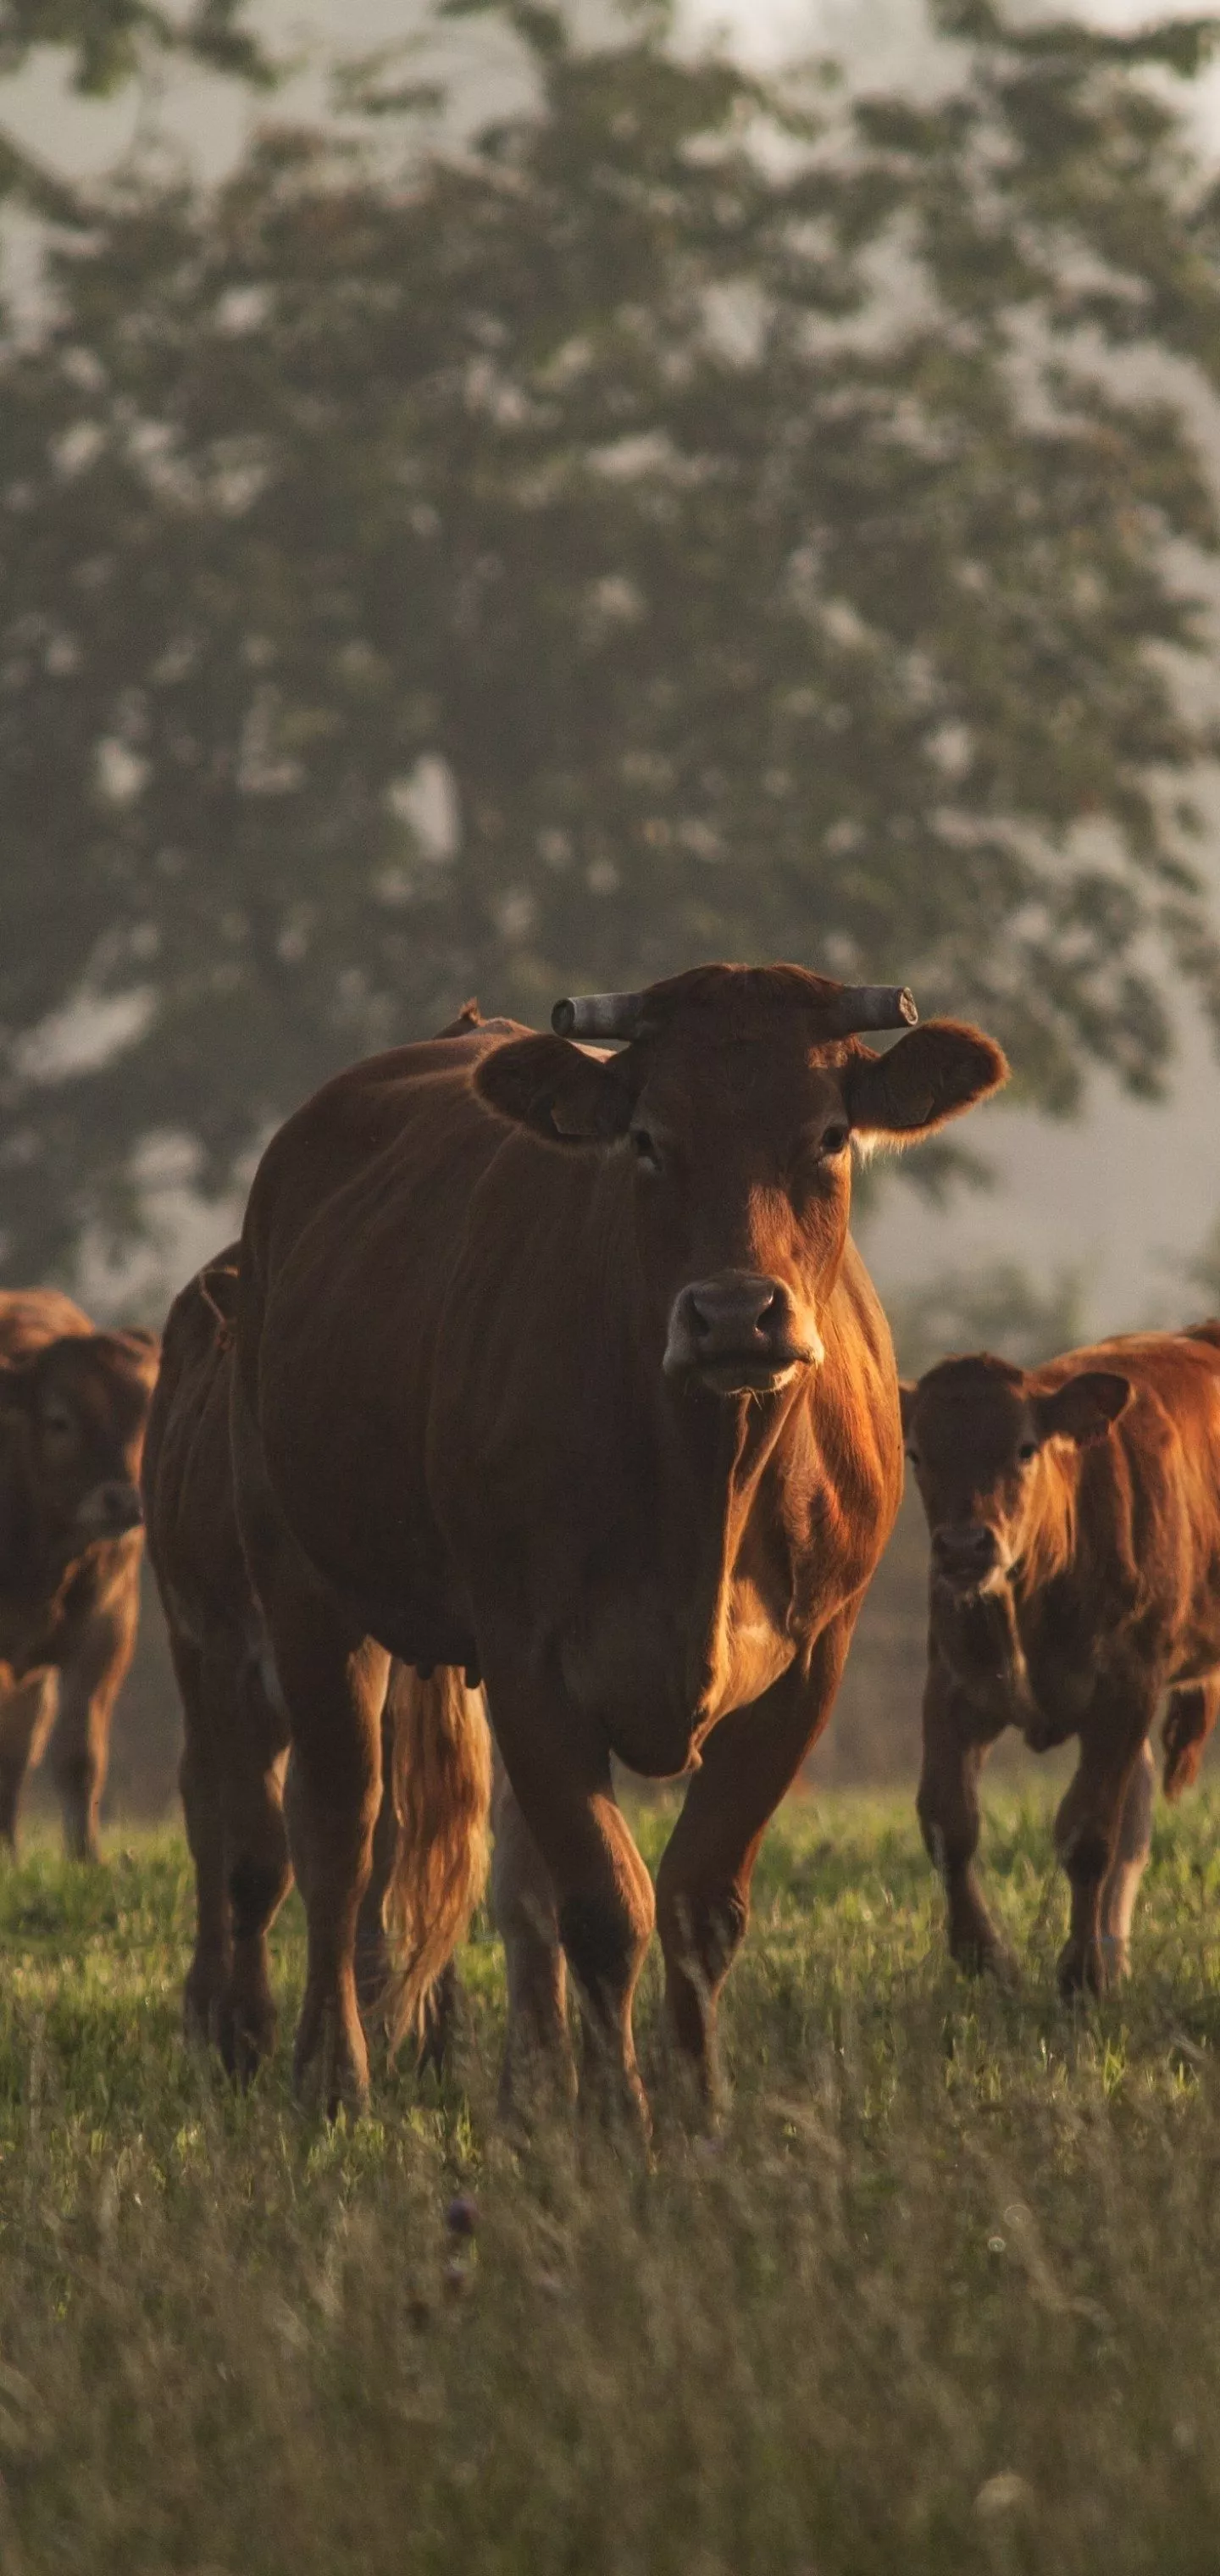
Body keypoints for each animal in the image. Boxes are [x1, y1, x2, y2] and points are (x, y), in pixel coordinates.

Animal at [0, 1290, 158, 1860]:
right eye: (60, 1420)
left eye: (149, 1417)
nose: (124, 1499)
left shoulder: (106, 1630)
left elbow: (78, 1754)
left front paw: (87, 1858)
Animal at [143, 1247, 486, 2074]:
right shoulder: (233, 1656)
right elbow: (256, 1856)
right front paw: (246, 2028)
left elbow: (387, 1836)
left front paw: (408, 2018)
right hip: (182, 1629)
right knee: (203, 1800)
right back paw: (205, 2000)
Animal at [231, 962, 1006, 2126]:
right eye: (648, 1138)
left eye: (828, 1135)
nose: (735, 1313)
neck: (706, 1479)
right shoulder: (530, 1658)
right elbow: (606, 1902)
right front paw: (620, 2120)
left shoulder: (807, 1669)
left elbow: (694, 1904)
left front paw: (697, 2110)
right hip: (304, 1580)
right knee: (337, 1827)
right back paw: (334, 2074)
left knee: (516, 1884)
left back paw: (532, 2087)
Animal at [902, 1323, 1220, 1995]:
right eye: (916, 1453)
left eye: (1025, 1449)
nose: (965, 1546)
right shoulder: (952, 1687)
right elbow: (947, 1823)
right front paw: (984, 1957)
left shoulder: (1126, 1688)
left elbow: (1088, 1833)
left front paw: (1081, 1974)